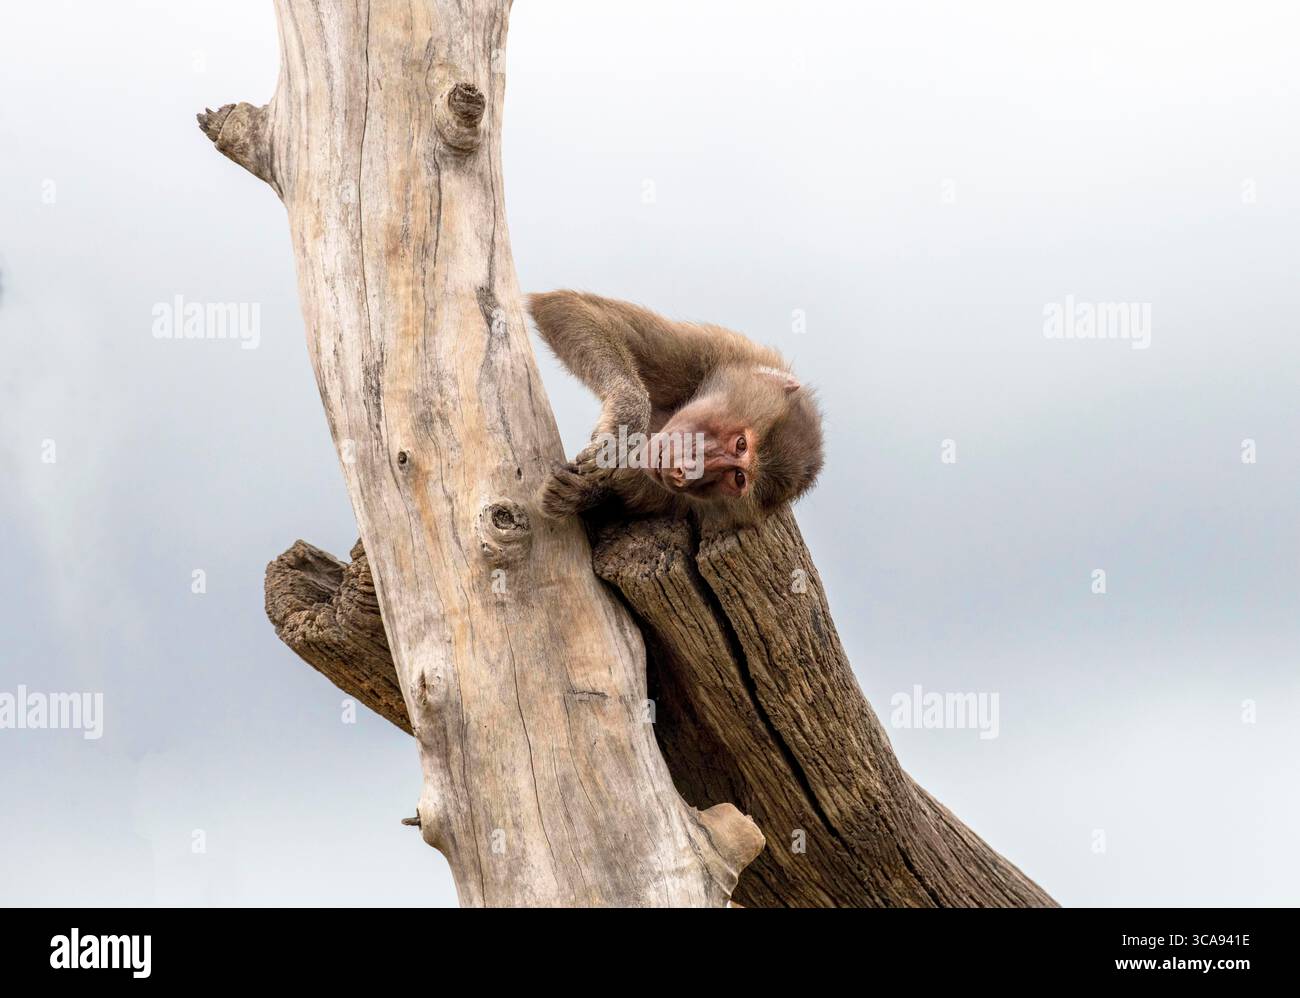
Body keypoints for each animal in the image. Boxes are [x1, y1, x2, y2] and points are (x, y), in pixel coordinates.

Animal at [527, 291, 823, 527]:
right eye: (741, 444)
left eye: (737, 478)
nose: (685, 470)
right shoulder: (711, 351)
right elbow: (563, 306)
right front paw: (622, 429)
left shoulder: (666, 498)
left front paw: (578, 494)